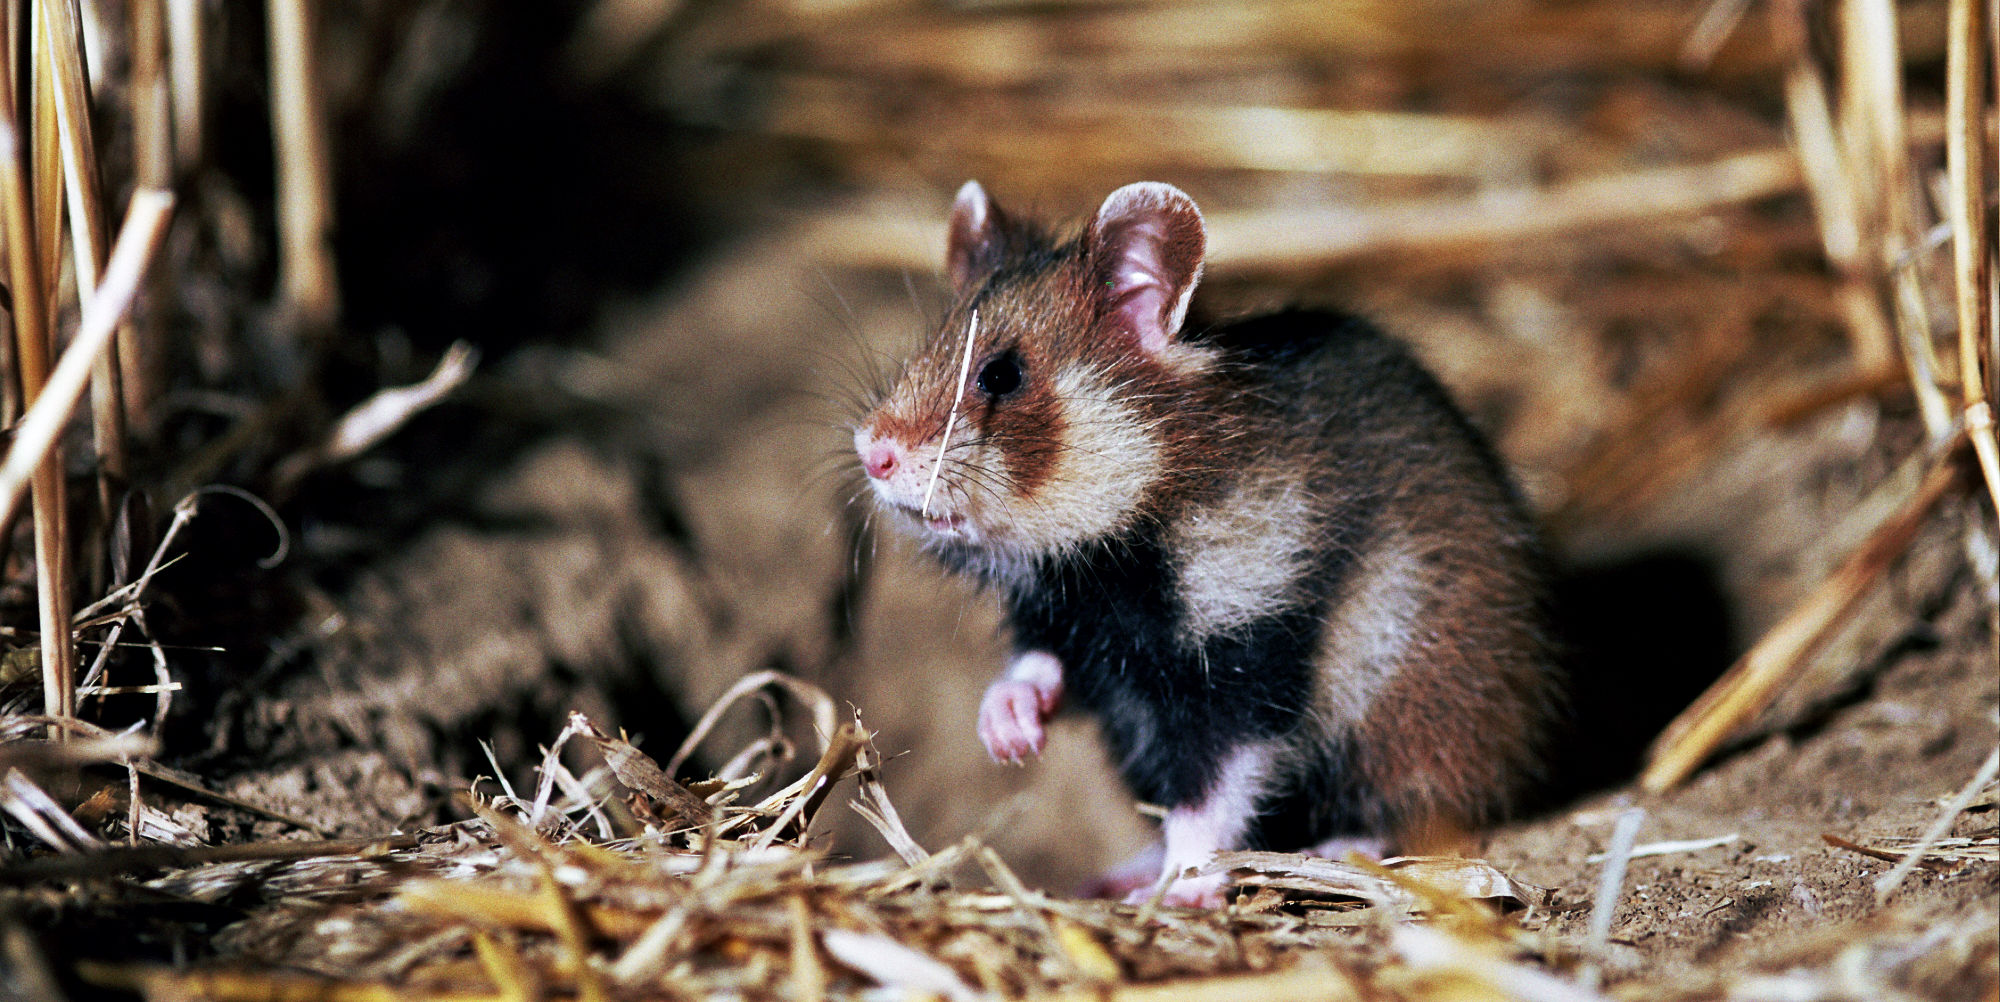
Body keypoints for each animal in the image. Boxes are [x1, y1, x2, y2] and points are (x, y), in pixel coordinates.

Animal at [854, 180, 1559, 907]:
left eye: (1001, 375)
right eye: (929, 345)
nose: (870, 453)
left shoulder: (1245, 658)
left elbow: (1212, 796)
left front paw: (1181, 891)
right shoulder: (1079, 635)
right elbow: (1034, 670)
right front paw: (1009, 740)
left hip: (1410, 721)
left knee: (1420, 814)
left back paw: (1332, 852)